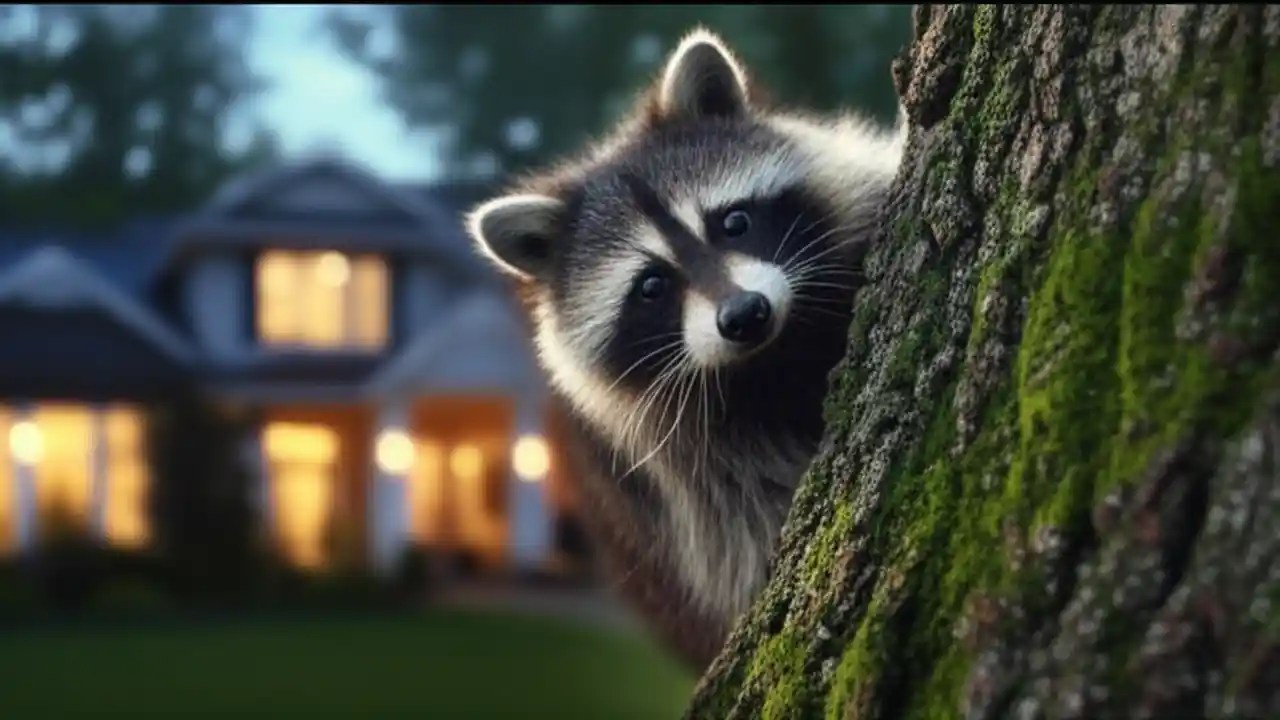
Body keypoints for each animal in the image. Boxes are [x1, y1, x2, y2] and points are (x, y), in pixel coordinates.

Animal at [466, 28, 906, 669]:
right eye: (651, 285)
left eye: (734, 222)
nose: (745, 315)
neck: (778, 355)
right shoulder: (687, 469)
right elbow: (746, 535)